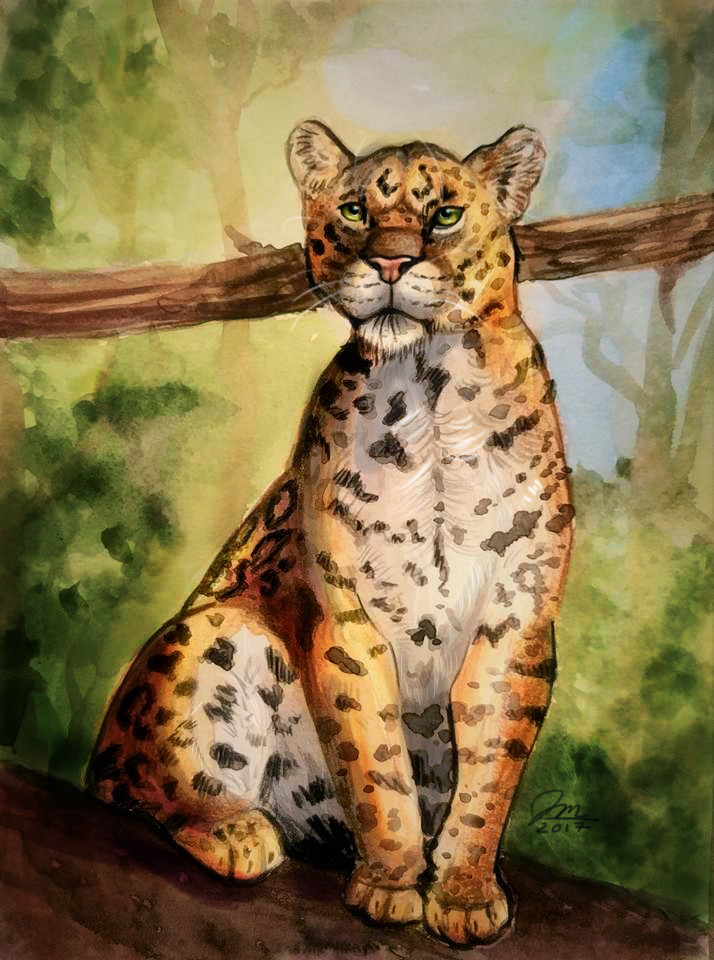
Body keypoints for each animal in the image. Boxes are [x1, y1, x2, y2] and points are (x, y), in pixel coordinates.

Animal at [87, 120, 574, 947]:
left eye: (445, 215)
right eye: (353, 211)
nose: (390, 260)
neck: (433, 391)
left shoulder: (518, 620)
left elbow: (488, 779)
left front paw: (465, 895)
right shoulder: (344, 616)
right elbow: (374, 765)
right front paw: (390, 884)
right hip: (219, 630)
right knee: (134, 781)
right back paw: (237, 831)